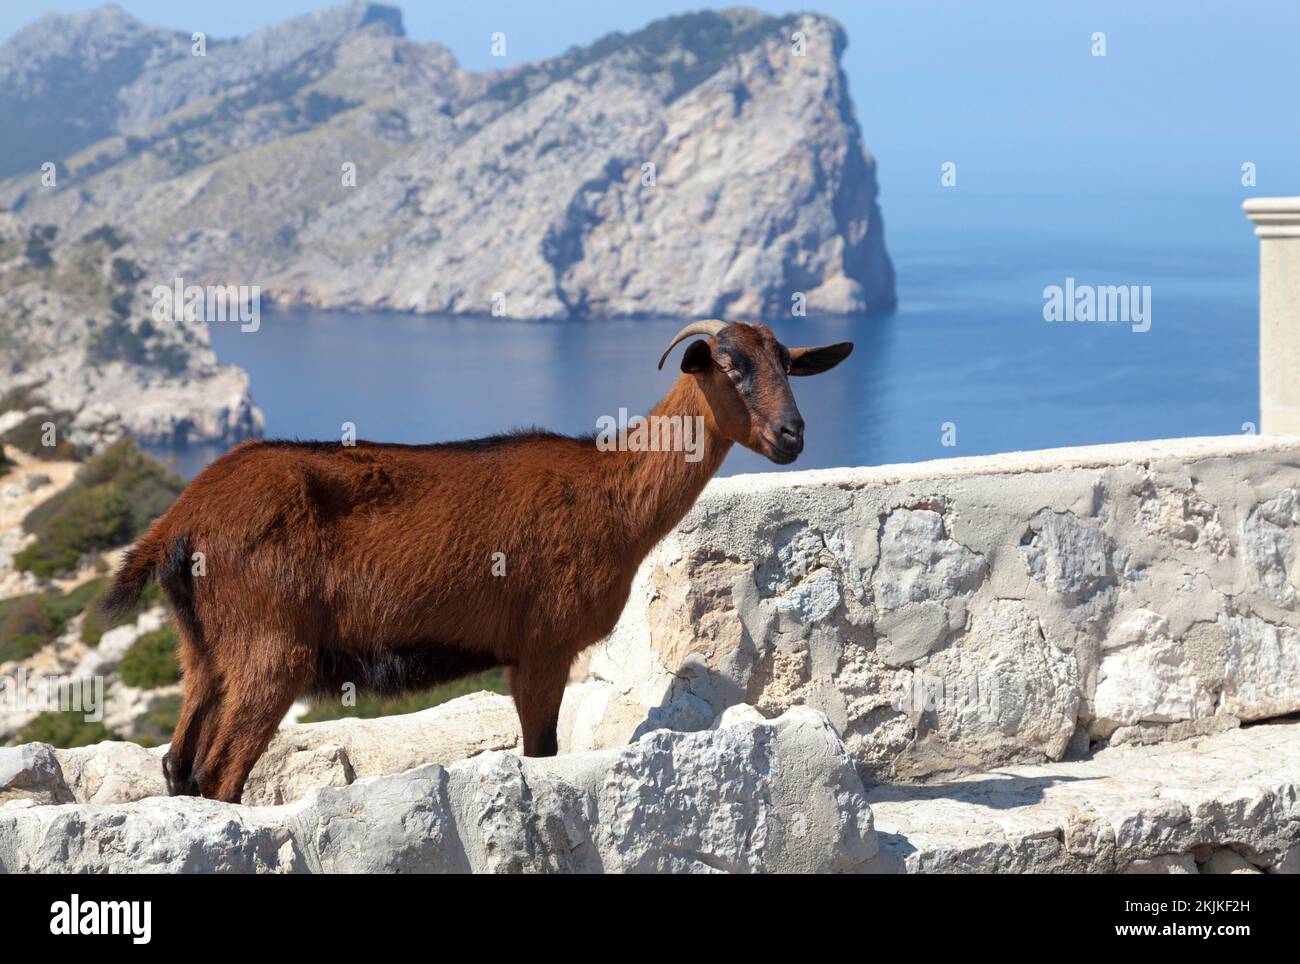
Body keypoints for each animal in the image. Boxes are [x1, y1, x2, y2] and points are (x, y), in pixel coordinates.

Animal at [103, 320, 853, 802]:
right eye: (729, 366)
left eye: (789, 364)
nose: (791, 435)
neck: (610, 492)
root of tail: (184, 516)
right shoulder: (543, 644)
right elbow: (541, 754)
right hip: (270, 646)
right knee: (220, 775)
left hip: (205, 648)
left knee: (179, 764)